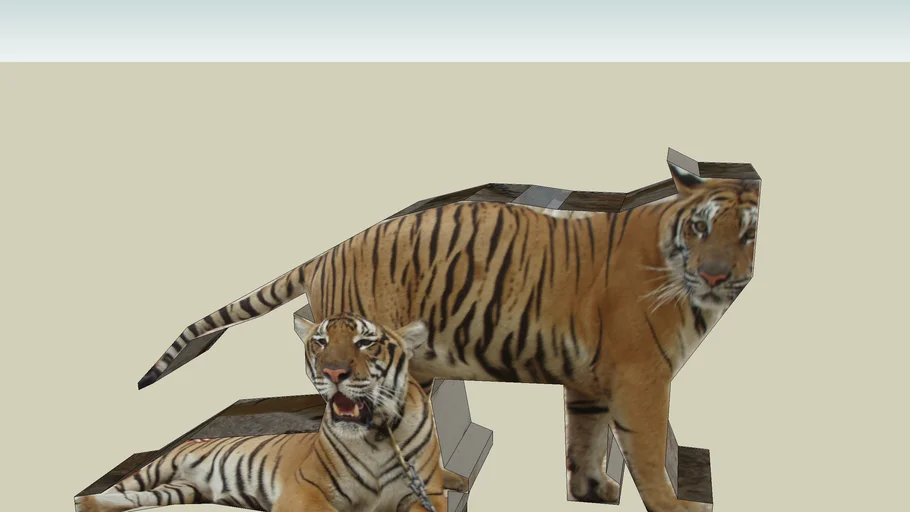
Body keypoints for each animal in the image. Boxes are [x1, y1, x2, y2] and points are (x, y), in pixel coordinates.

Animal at [77, 313, 468, 512]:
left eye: (366, 342)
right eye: (320, 342)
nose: (333, 372)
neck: (378, 436)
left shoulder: (425, 491)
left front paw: (459, 479)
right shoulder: (305, 492)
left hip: (177, 490)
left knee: (126, 500)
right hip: (157, 468)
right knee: (105, 492)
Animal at [137, 163, 760, 512]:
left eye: (747, 232)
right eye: (700, 227)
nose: (717, 276)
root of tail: (327, 250)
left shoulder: (591, 380)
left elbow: (586, 440)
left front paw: (594, 491)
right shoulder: (642, 378)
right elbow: (649, 451)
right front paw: (673, 505)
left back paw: (449, 474)